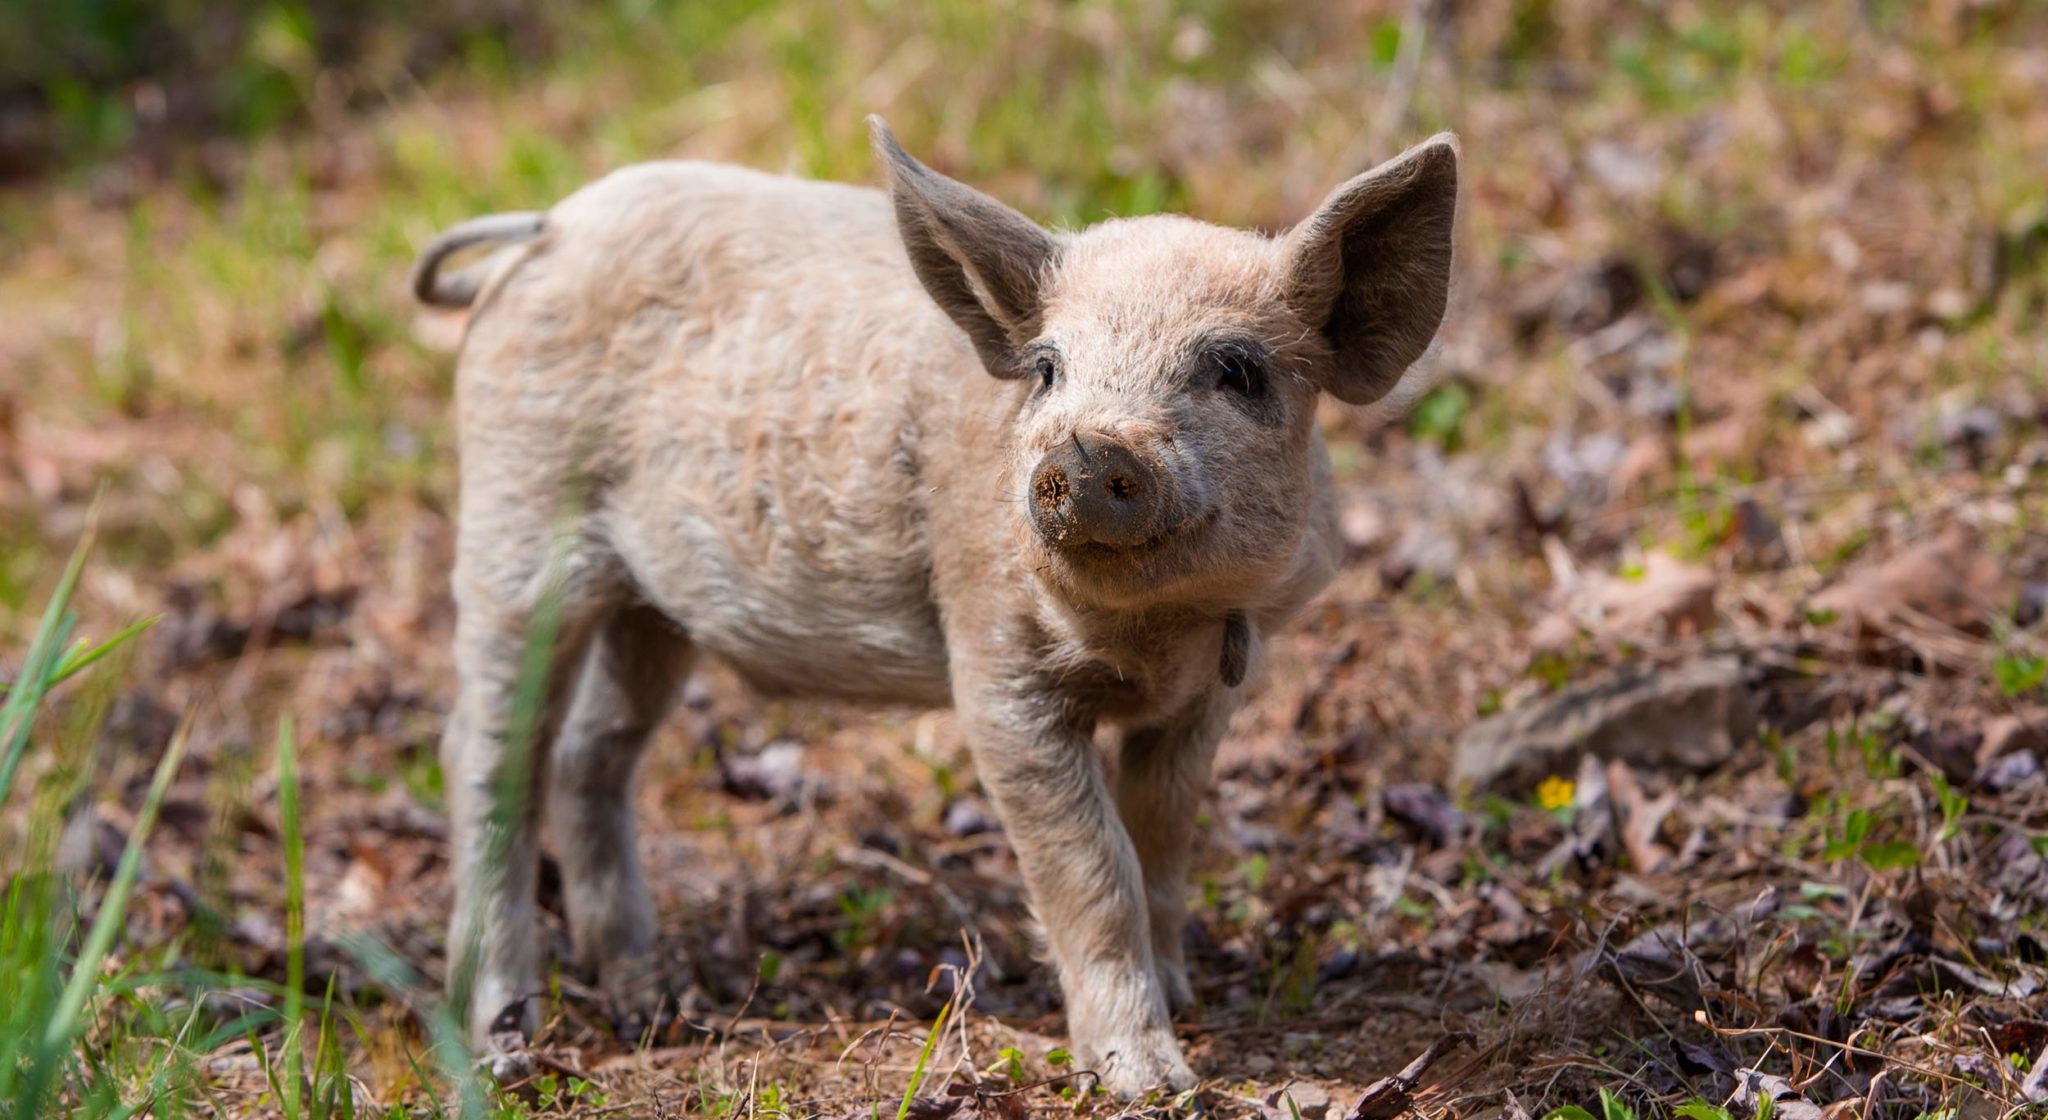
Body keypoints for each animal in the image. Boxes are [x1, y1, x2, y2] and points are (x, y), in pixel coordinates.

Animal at [412, 117, 1457, 1096]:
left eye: (1237, 370)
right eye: (1048, 369)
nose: (1085, 448)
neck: (1153, 637)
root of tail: (542, 231)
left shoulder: (1216, 691)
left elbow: (1160, 839)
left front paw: (1187, 998)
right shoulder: (991, 668)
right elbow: (1093, 867)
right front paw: (1153, 1081)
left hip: (653, 607)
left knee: (593, 749)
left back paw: (643, 992)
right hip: (513, 520)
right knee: (485, 756)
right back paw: (504, 1047)